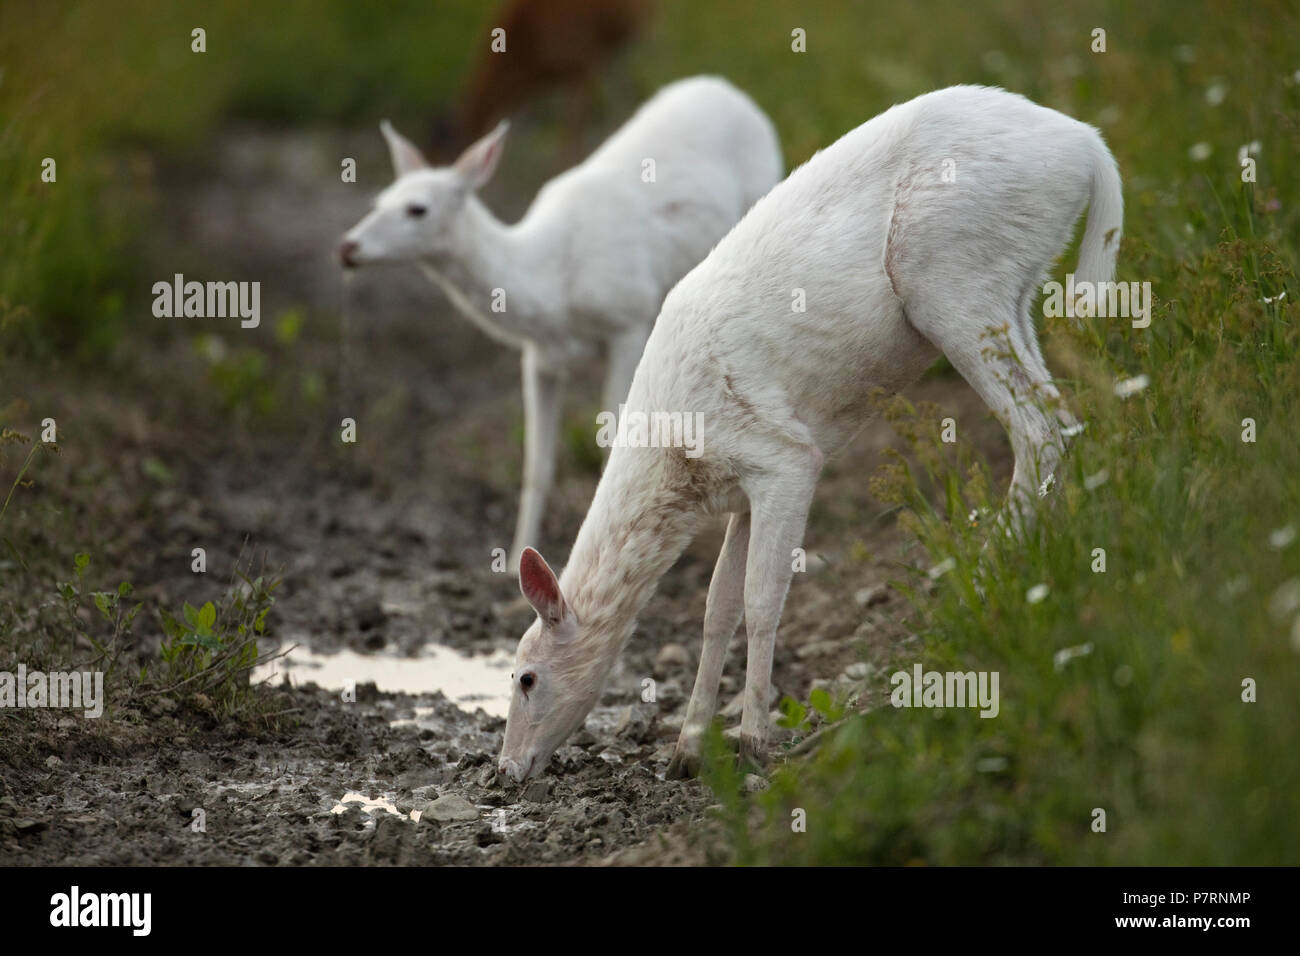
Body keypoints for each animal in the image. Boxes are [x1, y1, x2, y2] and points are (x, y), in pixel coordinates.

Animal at [338, 76, 783, 567]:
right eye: (378, 200)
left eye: (417, 209)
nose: (347, 247)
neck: (551, 284)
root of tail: (728, 89)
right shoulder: (540, 357)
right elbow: (537, 464)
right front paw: (517, 558)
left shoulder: (628, 319)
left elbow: (612, 446)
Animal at [497, 85, 1123, 784]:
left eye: (526, 678)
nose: (506, 768)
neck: (676, 458)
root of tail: (1088, 146)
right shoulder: (741, 489)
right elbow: (716, 606)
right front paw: (687, 750)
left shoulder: (788, 456)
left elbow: (762, 597)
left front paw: (752, 744)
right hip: (1013, 290)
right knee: (1062, 415)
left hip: (954, 278)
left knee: (1037, 428)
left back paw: (986, 577)